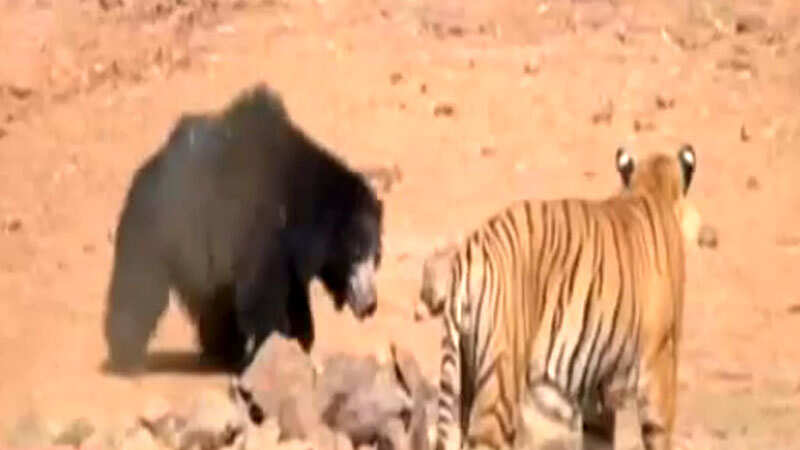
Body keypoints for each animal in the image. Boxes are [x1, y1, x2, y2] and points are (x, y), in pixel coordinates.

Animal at [103, 83, 384, 373]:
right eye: (356, 255)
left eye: (376, 258)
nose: (370, 304)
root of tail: (146, 174)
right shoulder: (263, 230)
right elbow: (263, 296)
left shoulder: (285, 253)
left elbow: (292, 296)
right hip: (159, 229)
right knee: (140, 288)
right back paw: (128, 358)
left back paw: (220, 350)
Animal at [422, 145, 696, 450]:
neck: (650, 190)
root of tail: (472, 249)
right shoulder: (661, 362)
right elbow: (660, 433)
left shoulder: (596, 388)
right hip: (501, 376)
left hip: (465, 374)